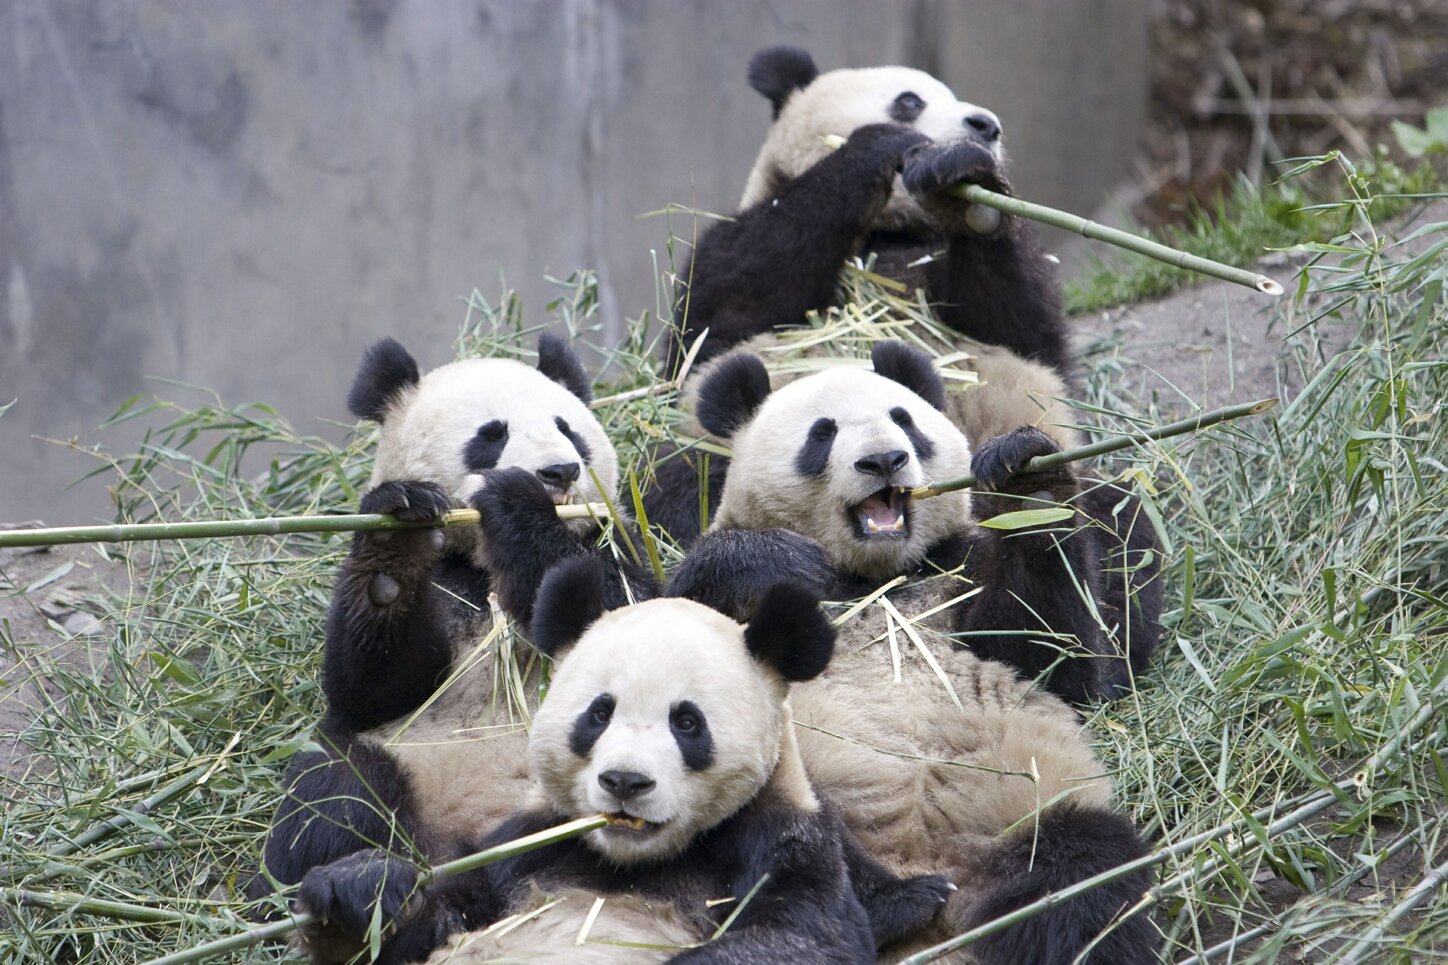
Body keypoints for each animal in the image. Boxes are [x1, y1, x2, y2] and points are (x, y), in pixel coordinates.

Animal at [254, 330, 657, 904]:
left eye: (568, 429)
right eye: (491, 434)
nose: (559, 471)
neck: (484, 563)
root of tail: (457, 837)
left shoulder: (620, 538)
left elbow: (632, 614)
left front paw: (517, 505)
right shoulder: (448, 587)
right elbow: (375, 688)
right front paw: (394, 543)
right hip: (403, 758)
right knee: (335, 790)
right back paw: (351, 885)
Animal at [288, 559, 955, 956]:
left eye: (687, 723)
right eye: (598, 713)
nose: (625, 781)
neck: (632, 860)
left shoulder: (779, 837)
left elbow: (798, 935)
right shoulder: (528, 844)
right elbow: (442, 915)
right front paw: (361, 891)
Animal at [645, 48, 1088, 544]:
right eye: (910, 101)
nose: (986, 125)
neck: (889, 231)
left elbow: (1022, 329)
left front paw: (969, 185)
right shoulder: (723, 264)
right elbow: (732, 299)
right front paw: (884, 146)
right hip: (713, 450)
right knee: (683, 480)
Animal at [668, 337, 1164, 956]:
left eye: (904, 419)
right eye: (822, 433)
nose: (884, 460)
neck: (879, 579)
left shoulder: (957, 571)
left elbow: (1048, 654)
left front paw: (1027, 484)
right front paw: (775, 562)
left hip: (1024, 813)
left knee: (1084, 877)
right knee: (784, 831)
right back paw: (889, 903)